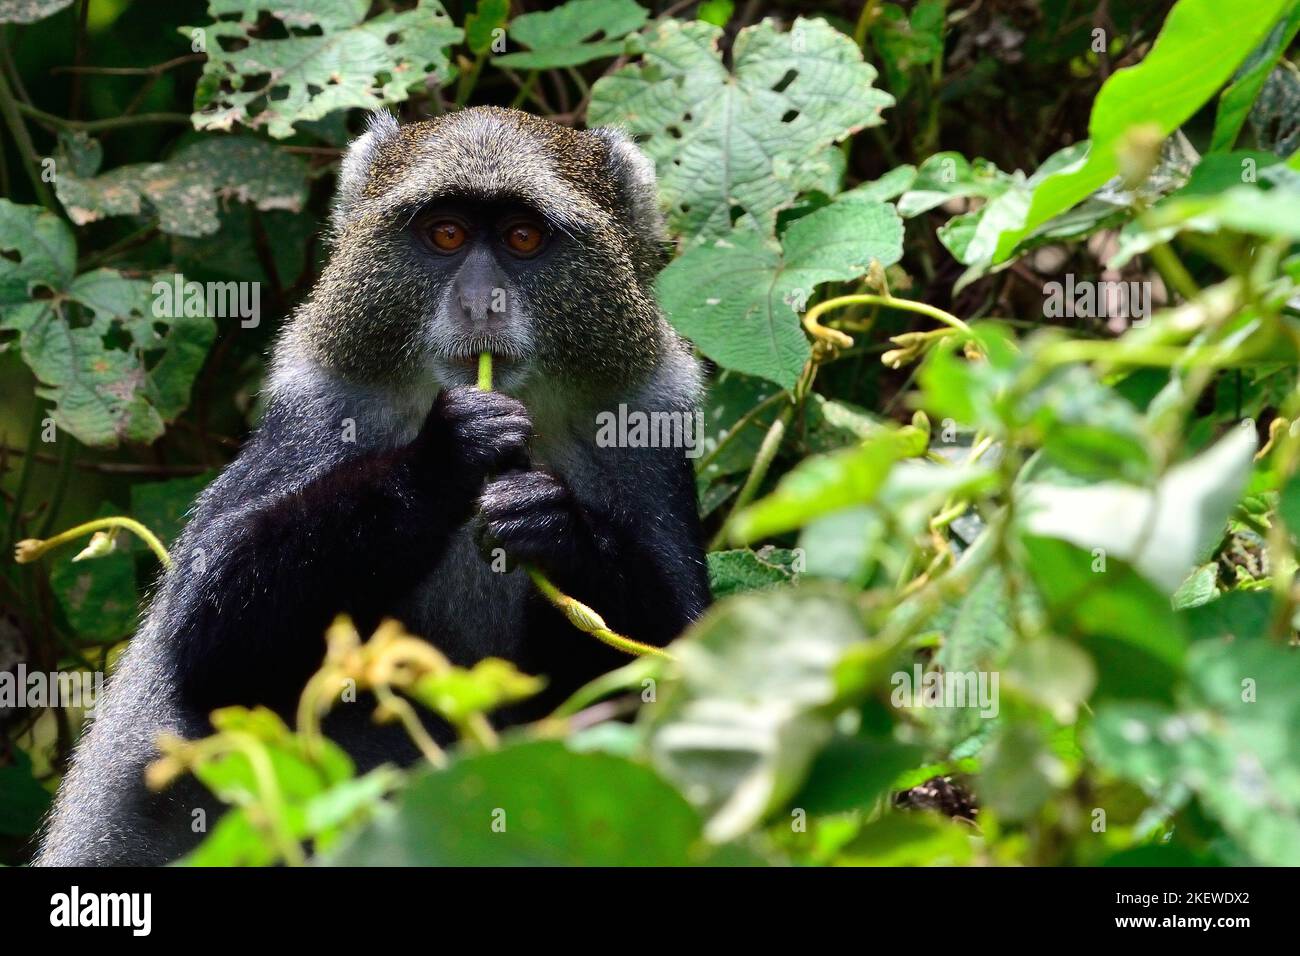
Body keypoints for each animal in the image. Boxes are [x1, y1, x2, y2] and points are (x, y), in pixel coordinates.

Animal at [35, 107, 711, 866]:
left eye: (522, 238)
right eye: (445, 234)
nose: (482, 303)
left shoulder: (647, 427)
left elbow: (675, 667)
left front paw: (551, 524)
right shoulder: (318, 413)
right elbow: (208, 638)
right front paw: (446, 457)